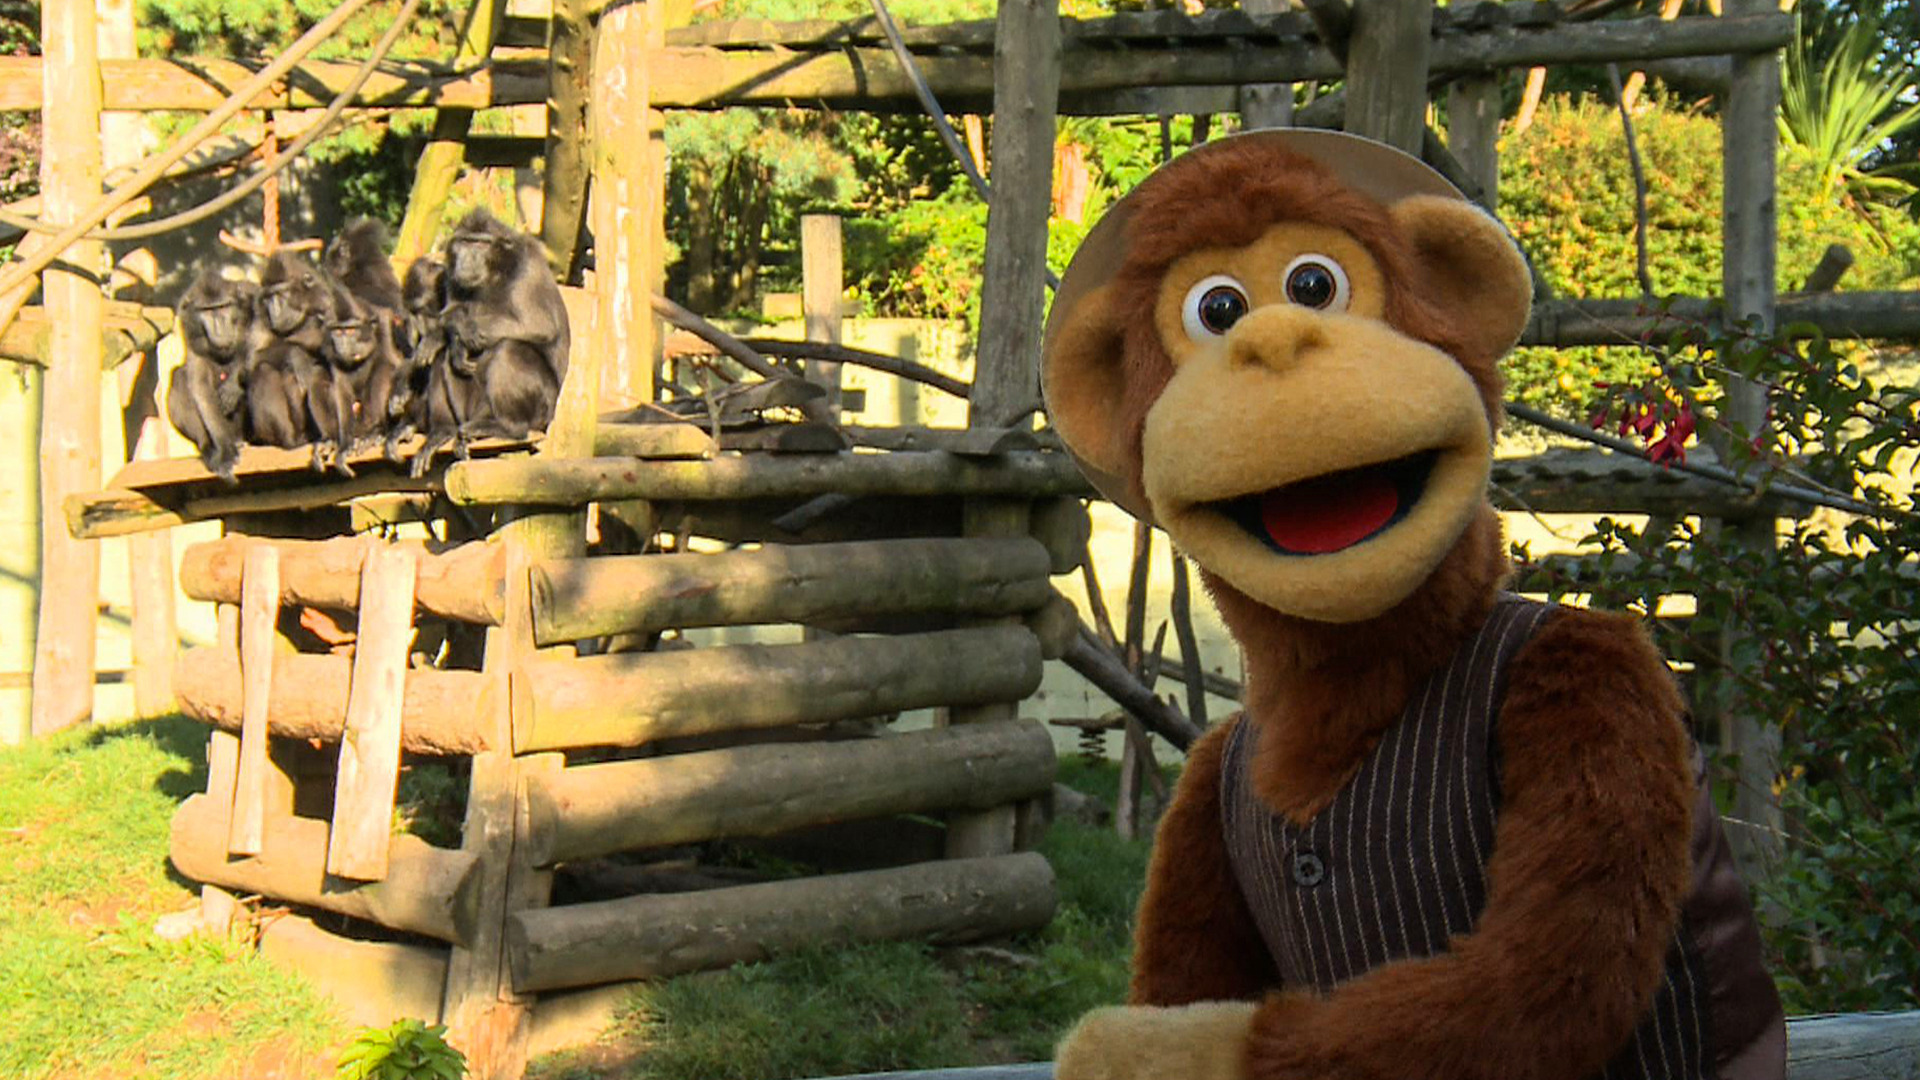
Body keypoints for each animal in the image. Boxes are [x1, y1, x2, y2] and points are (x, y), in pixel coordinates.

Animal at [165, 270, 258, 484]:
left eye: (223, 306)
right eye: (207, 310)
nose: (218, 324)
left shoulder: (252, 293)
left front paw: (233, 385)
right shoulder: (187, 324)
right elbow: (199, 384)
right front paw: (224, 451)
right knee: (179, 378)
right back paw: (208, 447)